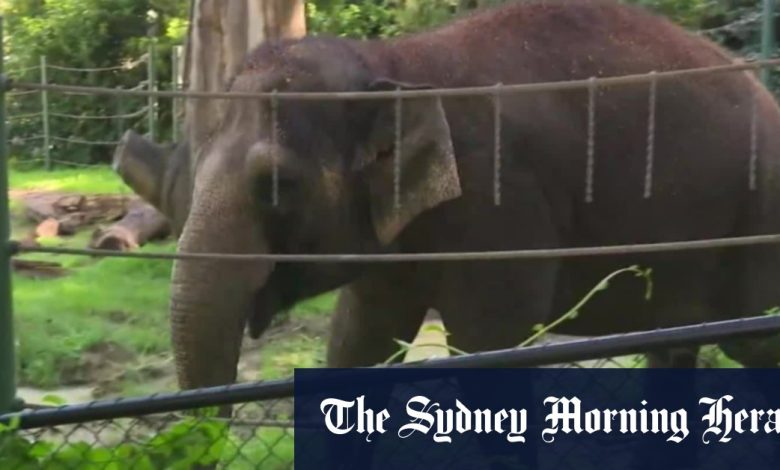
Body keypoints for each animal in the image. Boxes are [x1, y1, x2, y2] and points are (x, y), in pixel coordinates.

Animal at [120, 0, 780, 392]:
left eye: (278, 187)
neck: (397, 64)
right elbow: (359, 338)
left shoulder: (503, 204)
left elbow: (489, 346)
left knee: (752, 341)